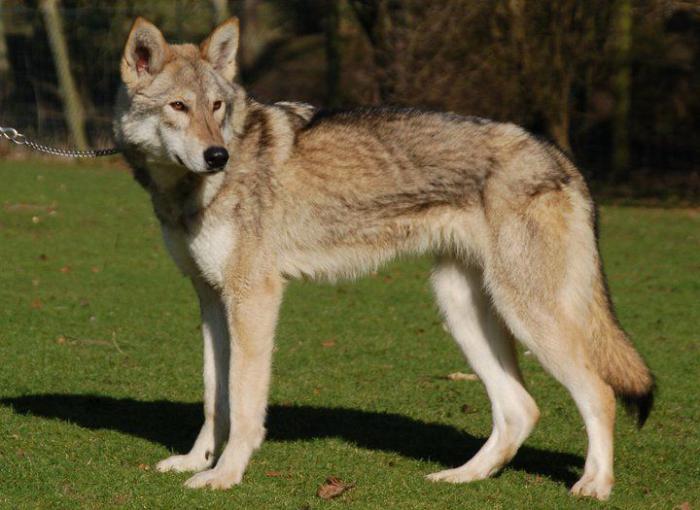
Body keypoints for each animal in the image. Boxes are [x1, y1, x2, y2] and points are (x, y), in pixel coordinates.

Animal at [112, 16, 652, 502]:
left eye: (217, 107)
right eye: (179, 106)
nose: (217, 155)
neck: (186, 191)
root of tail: (562, 158)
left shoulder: (254, 297)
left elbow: (244, 404)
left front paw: (225, 474)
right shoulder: (210, 299)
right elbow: (214, 397)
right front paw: (196, 461)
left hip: (526, 313)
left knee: (599, 393)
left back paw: (595, 484)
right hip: (462, 310)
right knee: (521, 410)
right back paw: (461, 477)